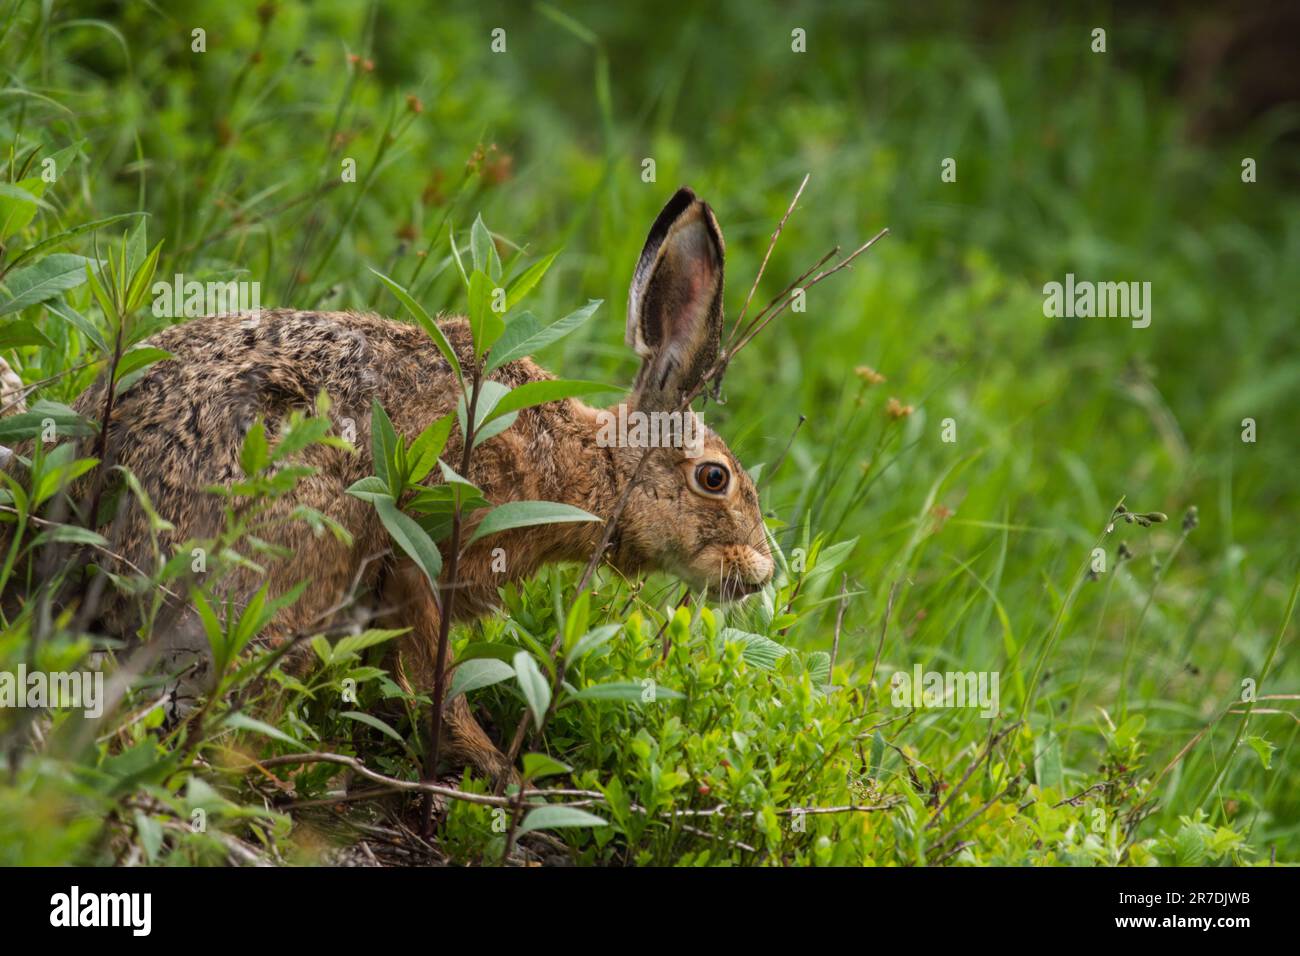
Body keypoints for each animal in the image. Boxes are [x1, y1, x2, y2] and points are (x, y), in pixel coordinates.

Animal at [3, 187, 774, 782]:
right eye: (713, 478)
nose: (763, 573)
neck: (584, 466)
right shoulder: (423, 559)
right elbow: (434, 676)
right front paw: (494, 768)